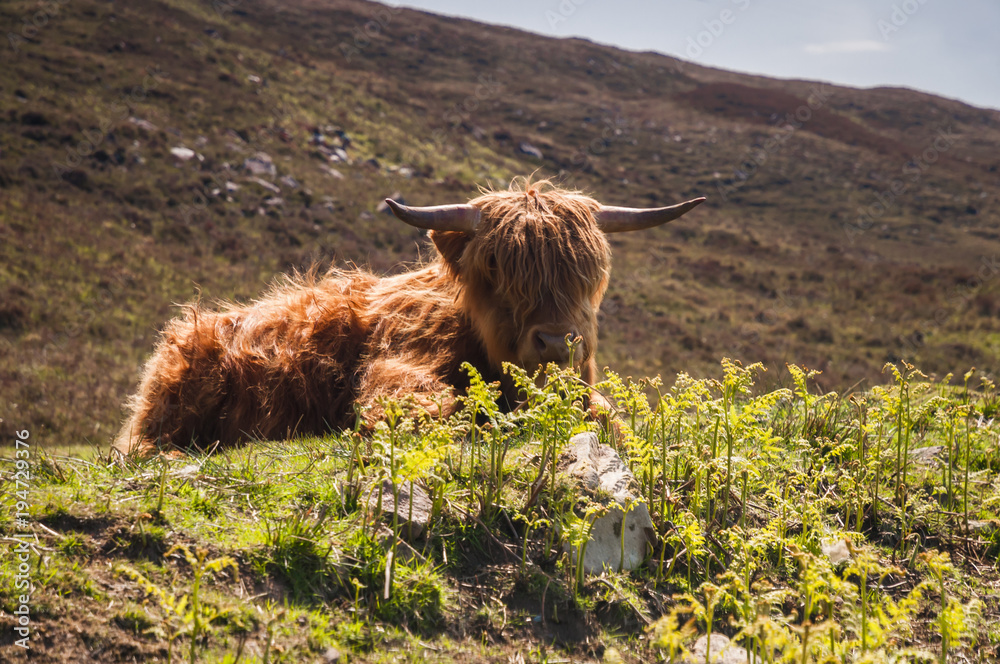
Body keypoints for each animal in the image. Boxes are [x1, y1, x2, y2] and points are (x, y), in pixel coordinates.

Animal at [112, 180, 704, 459]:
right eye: (496, 264)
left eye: (589, 268)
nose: (557, 341)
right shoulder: (398, 368)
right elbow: (431, 408)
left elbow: (608, 419)